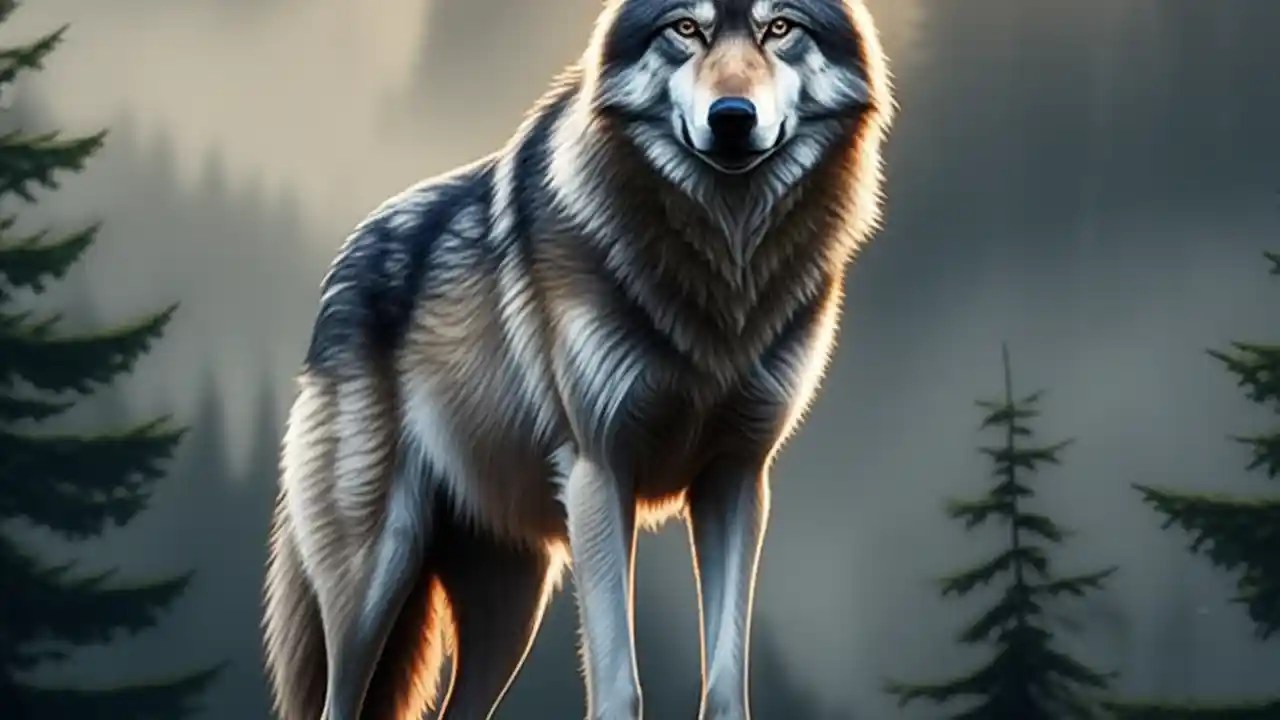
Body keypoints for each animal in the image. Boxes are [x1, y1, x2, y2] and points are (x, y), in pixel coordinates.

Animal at [262, 1, 893, 718]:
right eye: (686, 28)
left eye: (779, 27)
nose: (731, 117)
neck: (718, 269)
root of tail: (342, 265)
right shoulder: (600, 471)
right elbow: (619, 681)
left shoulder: (735, 478)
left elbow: (727, 680)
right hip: (375, 574)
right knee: (337, 699)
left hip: (511, 606)